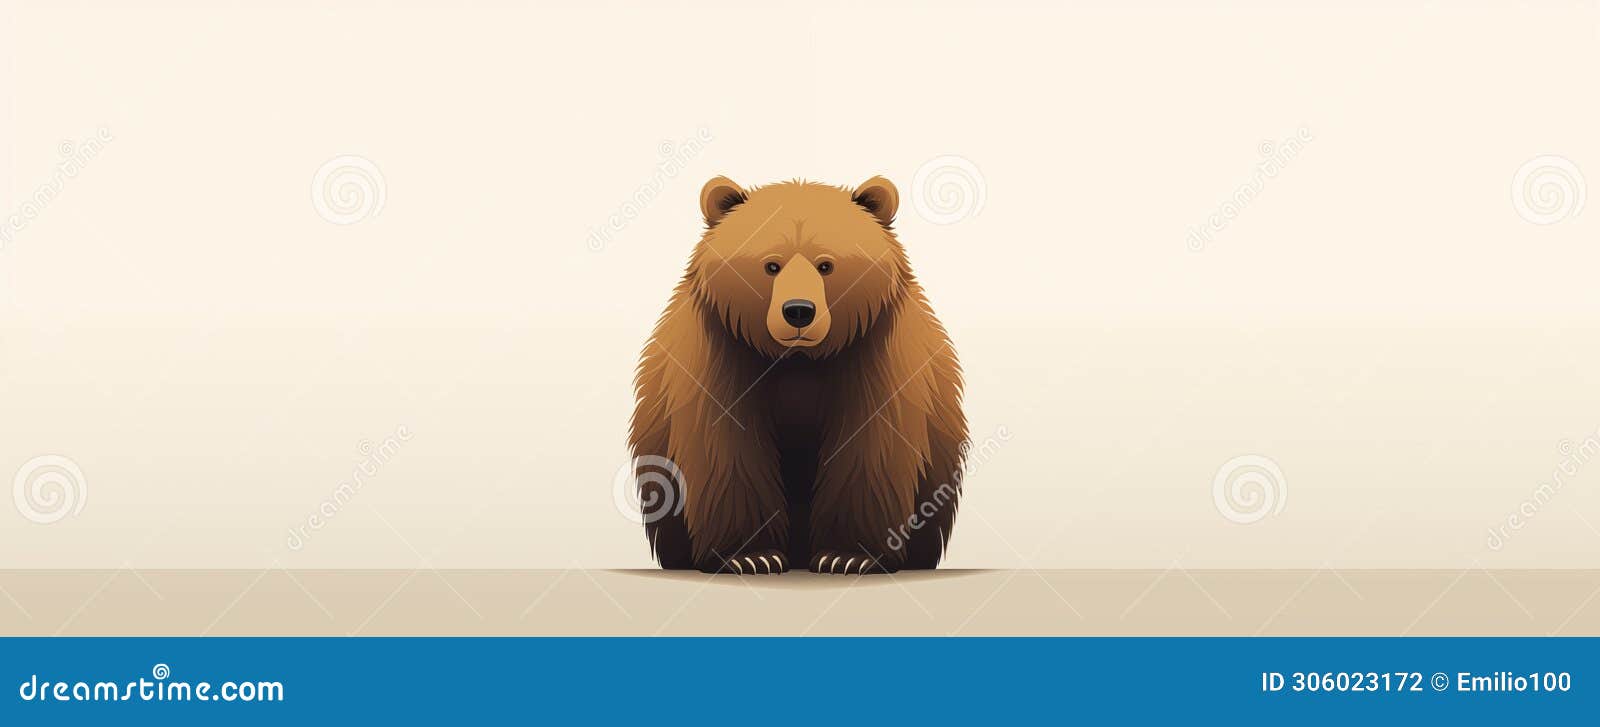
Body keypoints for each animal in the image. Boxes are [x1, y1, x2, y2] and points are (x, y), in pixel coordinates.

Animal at [628, 175, 967, 574]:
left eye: (826, 265)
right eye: (771, 265)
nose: (799, 311)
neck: (797, 359)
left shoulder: (876, 351)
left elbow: (871, 445)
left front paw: (849, 556)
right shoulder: (720, 351)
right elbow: (725, 446)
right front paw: (748, 555)